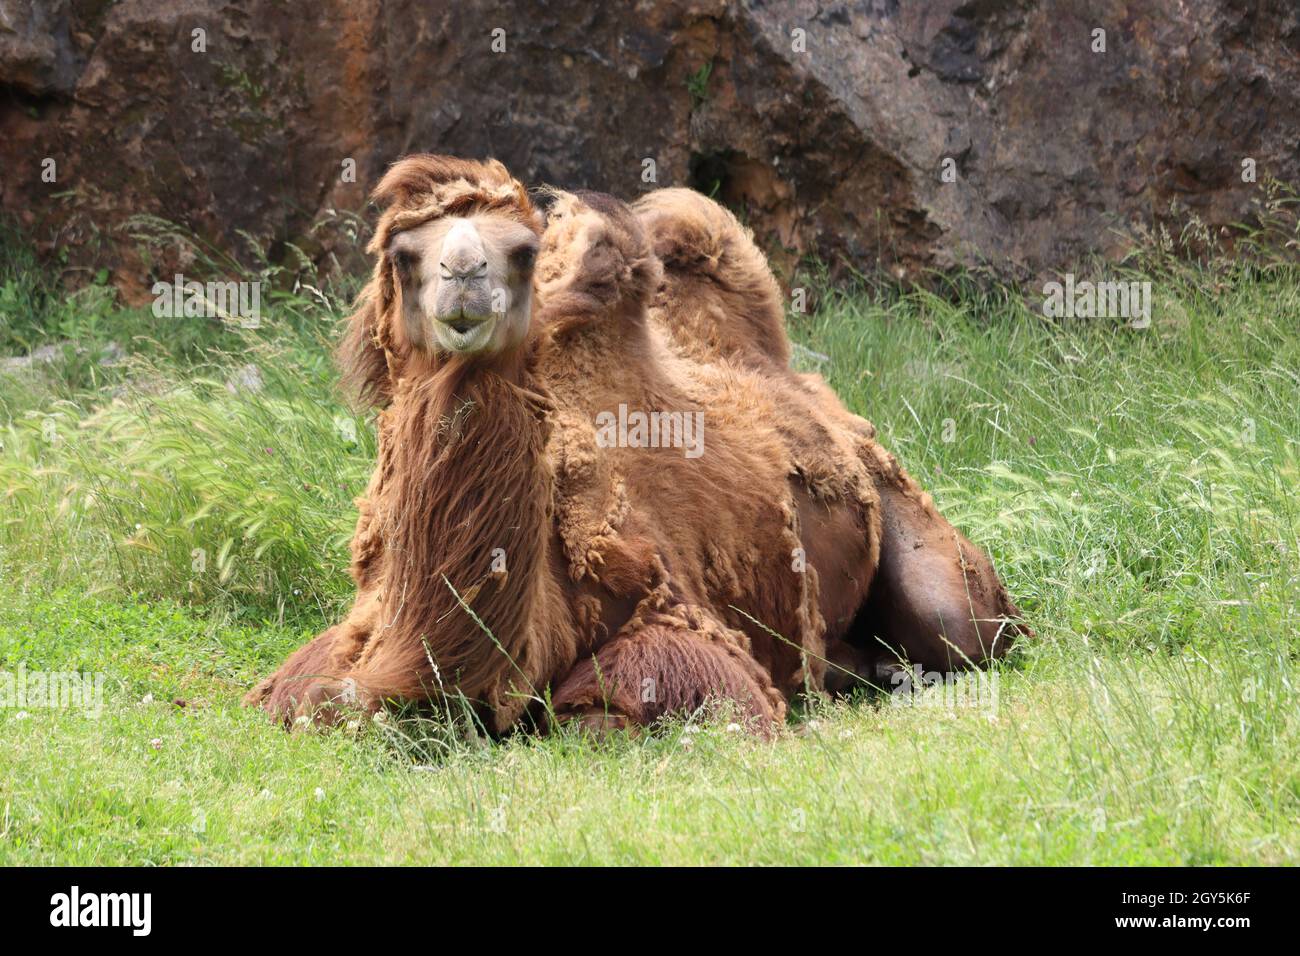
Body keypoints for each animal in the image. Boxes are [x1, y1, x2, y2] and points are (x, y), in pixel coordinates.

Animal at [245, 155, 1027, 735]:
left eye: (522, 251)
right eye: (403, 252)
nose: (463, 278)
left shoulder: (673, 628)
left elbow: (617, 706)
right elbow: (306, 699)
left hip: (923, 542)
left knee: (961, 629)